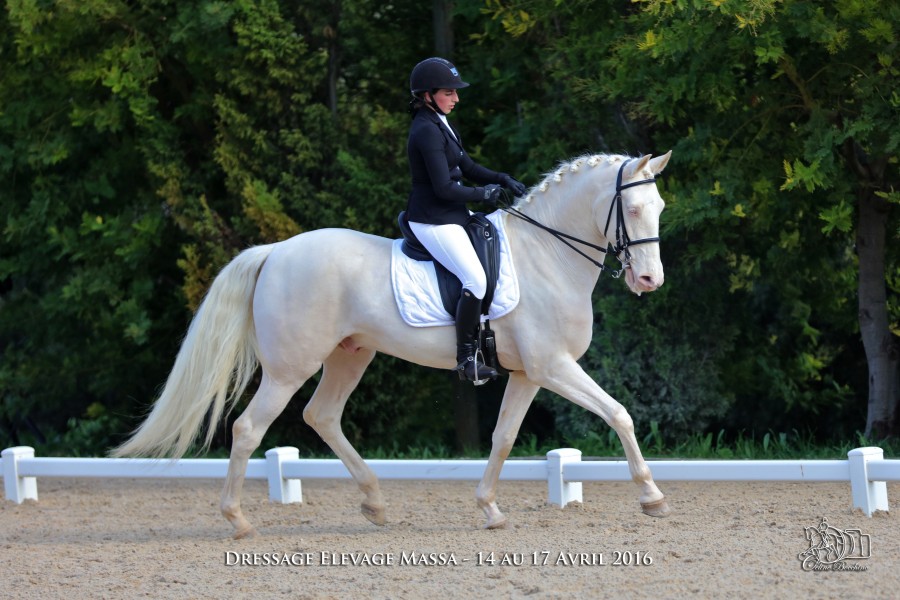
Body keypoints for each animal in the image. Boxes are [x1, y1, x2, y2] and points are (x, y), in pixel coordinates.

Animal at [113, 151, 673, 538]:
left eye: (659, 208)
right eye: (632, 208)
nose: (650, 280)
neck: (547, 255)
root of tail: (275, 252)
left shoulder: (528, 373)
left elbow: (503, 438)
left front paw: (489, 508)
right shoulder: (553, 366)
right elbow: (619, 413)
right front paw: (651, 496)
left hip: (350, 355)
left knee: (322, 416)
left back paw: (375, 503)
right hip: (289, 369)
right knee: (250, 428)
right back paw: (238, 521)